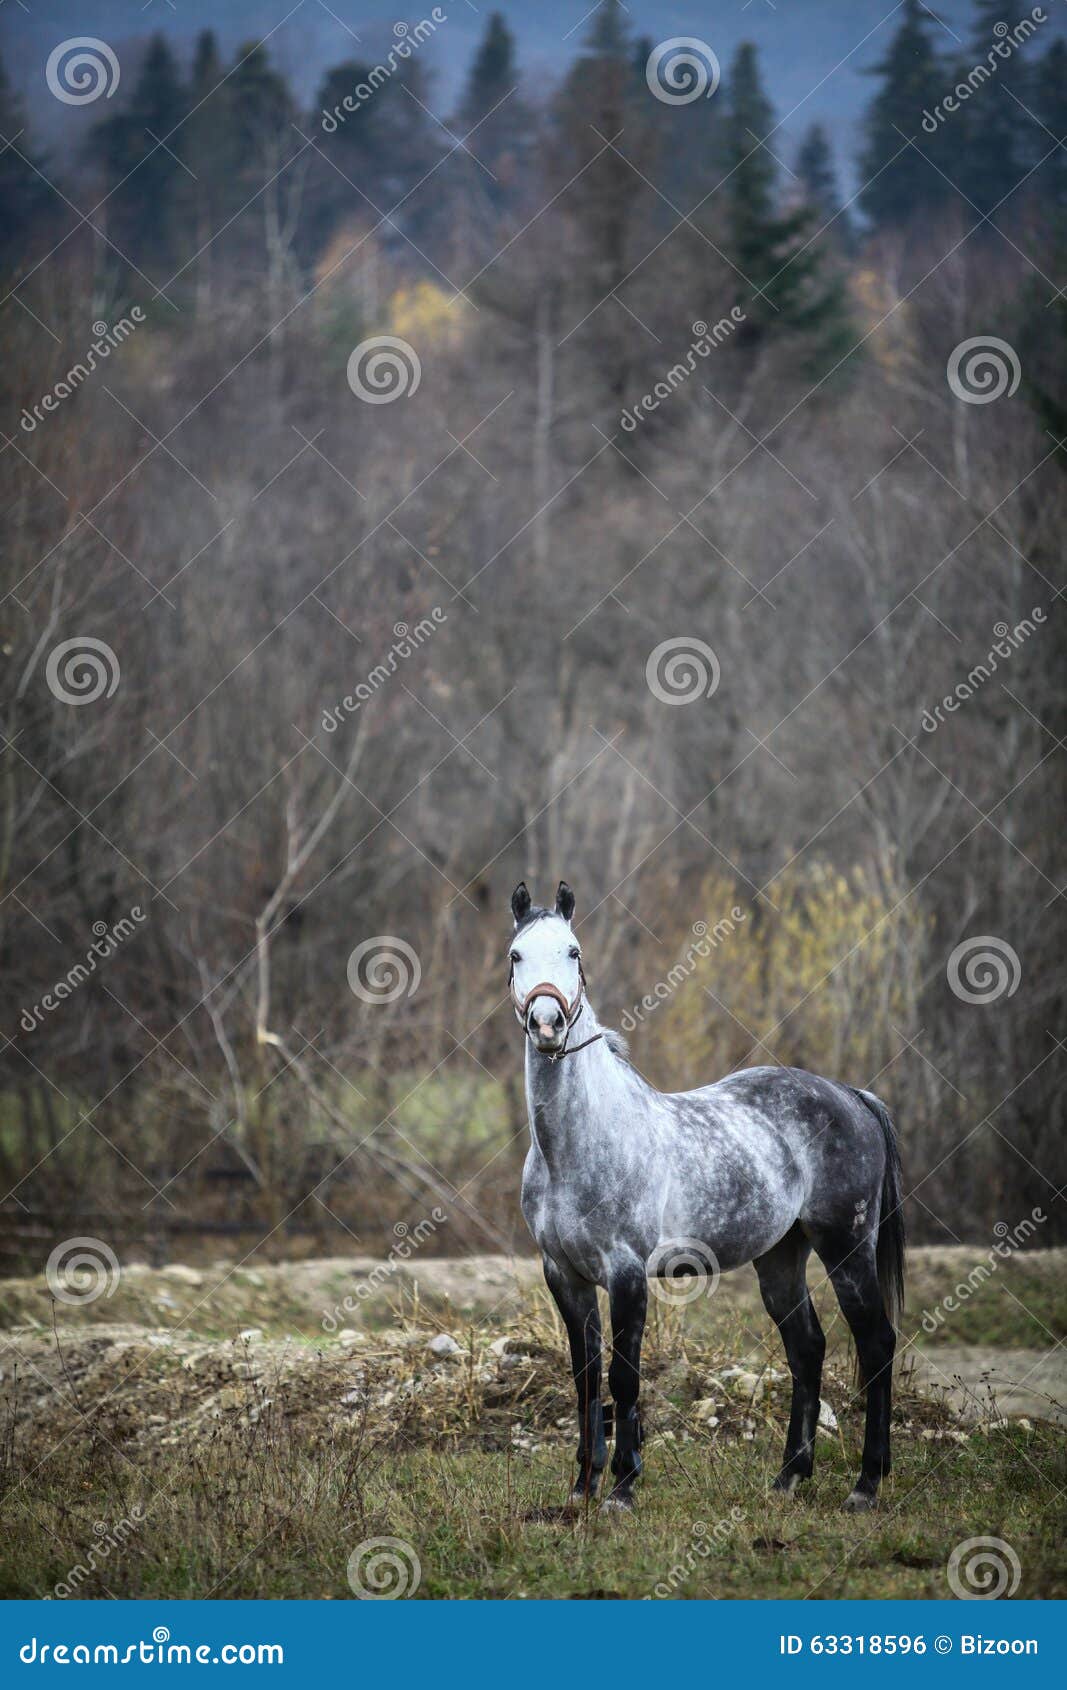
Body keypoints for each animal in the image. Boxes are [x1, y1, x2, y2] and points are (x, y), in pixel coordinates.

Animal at [509, 880, 905, 1513]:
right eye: (516, 955)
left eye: (573, 951)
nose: (547, 1024)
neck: (578, 1143)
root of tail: (851, 1095)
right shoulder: (564, 1275)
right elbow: (584, 1376)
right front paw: (580, 1489)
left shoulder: (625, 1273)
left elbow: (623, 1377)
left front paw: (621, 1487)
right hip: (781, 1257)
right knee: (807, 1347)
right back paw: (789, 1477)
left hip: (847, 1248)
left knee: (876, 1344)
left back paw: (866, 1485)